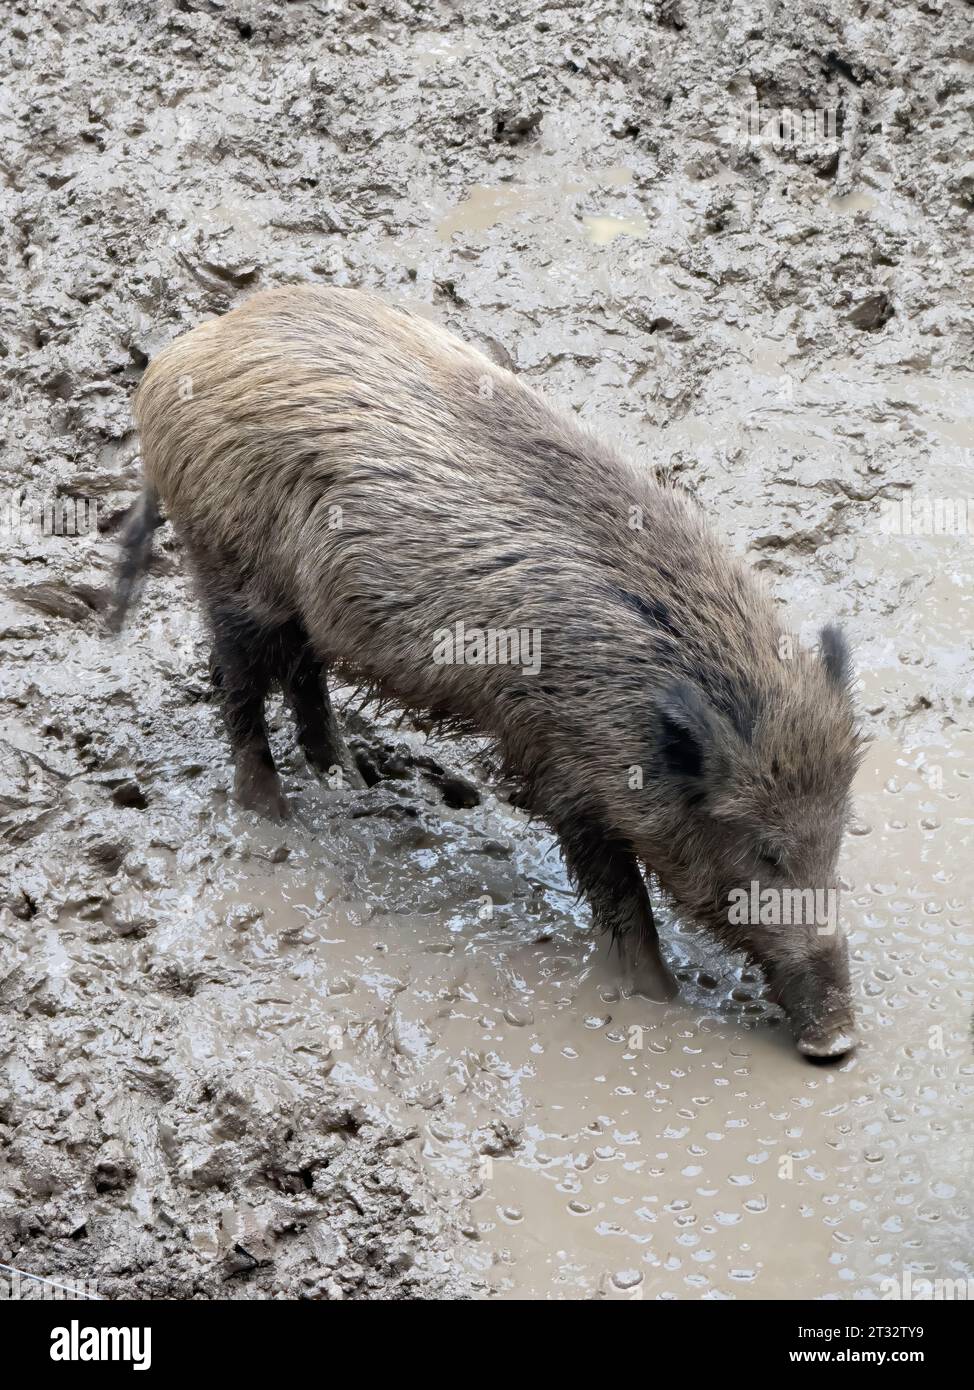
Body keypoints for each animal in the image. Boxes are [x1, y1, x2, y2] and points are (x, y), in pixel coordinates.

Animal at [113, 285, 863, 1059]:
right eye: (766, 852)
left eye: (838, 836)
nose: (839, 1042)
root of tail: (182, 354)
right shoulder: (561, 763)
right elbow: (620, 888)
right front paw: (658, 999)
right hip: (226, 565)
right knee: (235, 678)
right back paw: (274, 814)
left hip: (298, 601)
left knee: (303, 671)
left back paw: (349, 779)